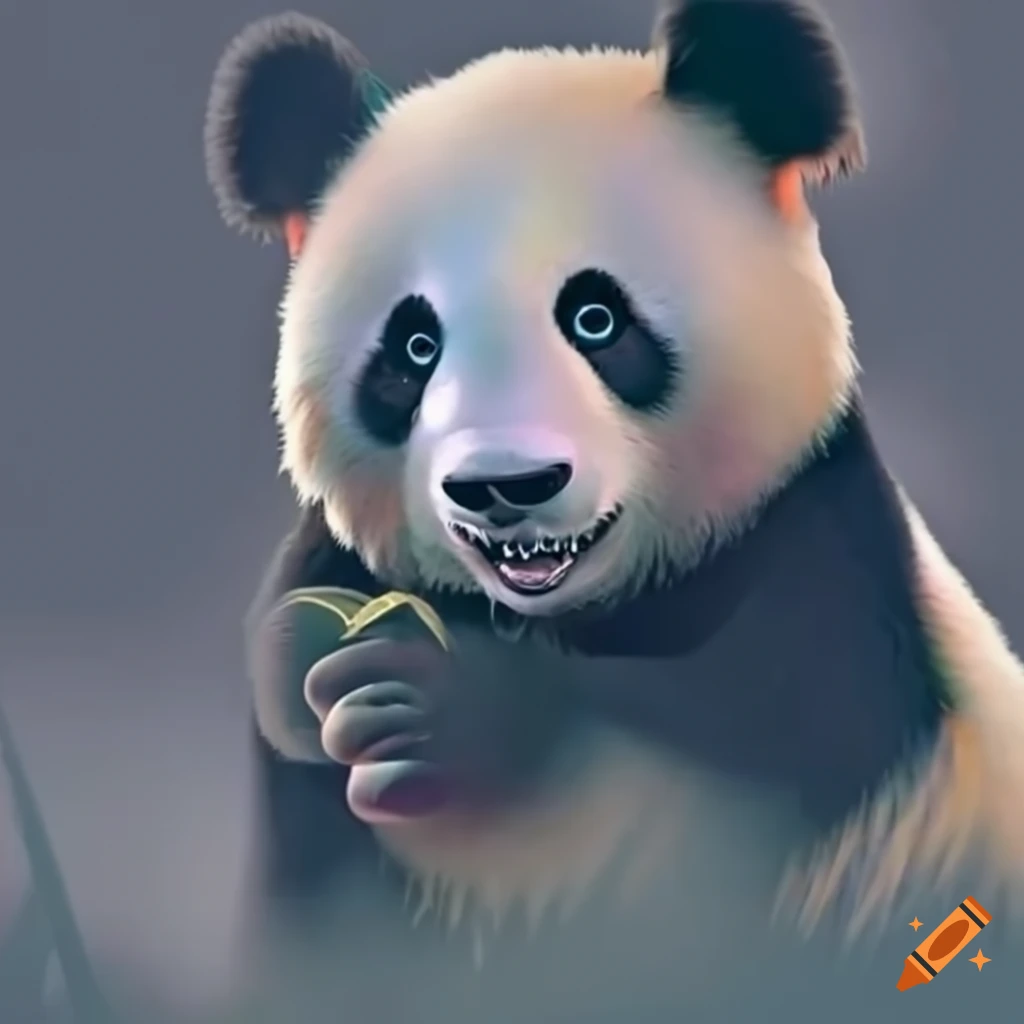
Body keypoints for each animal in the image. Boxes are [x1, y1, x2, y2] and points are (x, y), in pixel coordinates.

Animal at [204, 1, 1024, 1019]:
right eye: (415, 346)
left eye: (596, 319)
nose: (506, 485)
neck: (571, 619)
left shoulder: (820, 582)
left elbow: (717, 778)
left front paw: (434, 707)